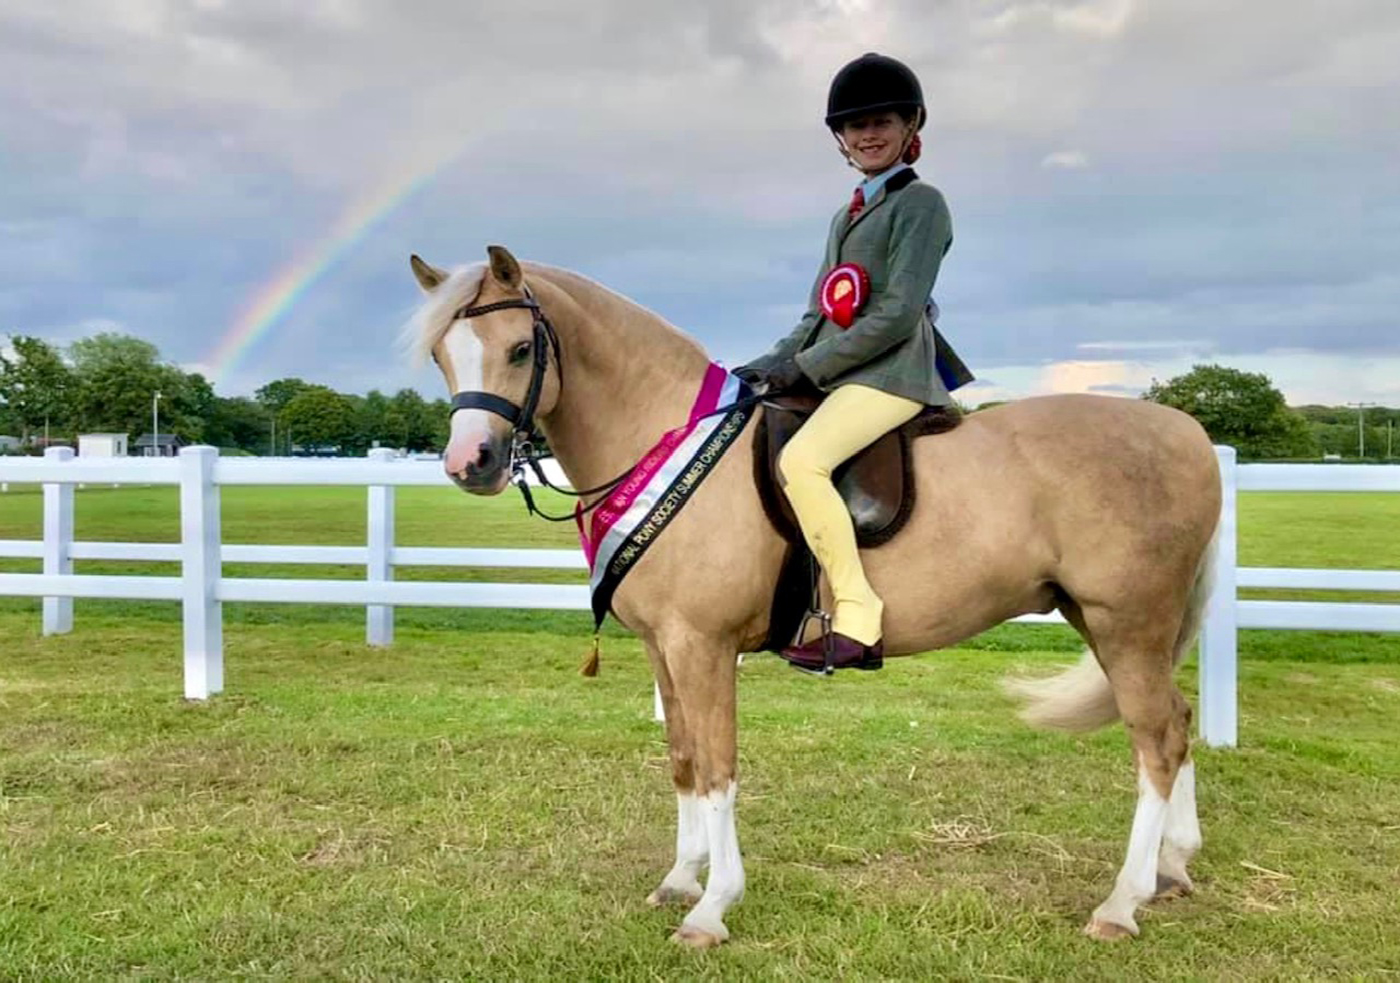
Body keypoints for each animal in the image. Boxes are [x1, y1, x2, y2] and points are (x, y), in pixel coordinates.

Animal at [404, 245, 1221, 947]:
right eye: (444, 354)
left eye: (519, 349)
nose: (470, 463)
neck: (664, 436)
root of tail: (1190, 432)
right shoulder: (664, 646)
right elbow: (682, 759)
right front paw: (679, 879)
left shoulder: (703, 646)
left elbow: (719, 767)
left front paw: (712, 906)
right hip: (1110, 624)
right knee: (1179, 723)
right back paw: (1171, 868)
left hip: (1127, 625)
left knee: (1157, 740)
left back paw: (1121, 902)